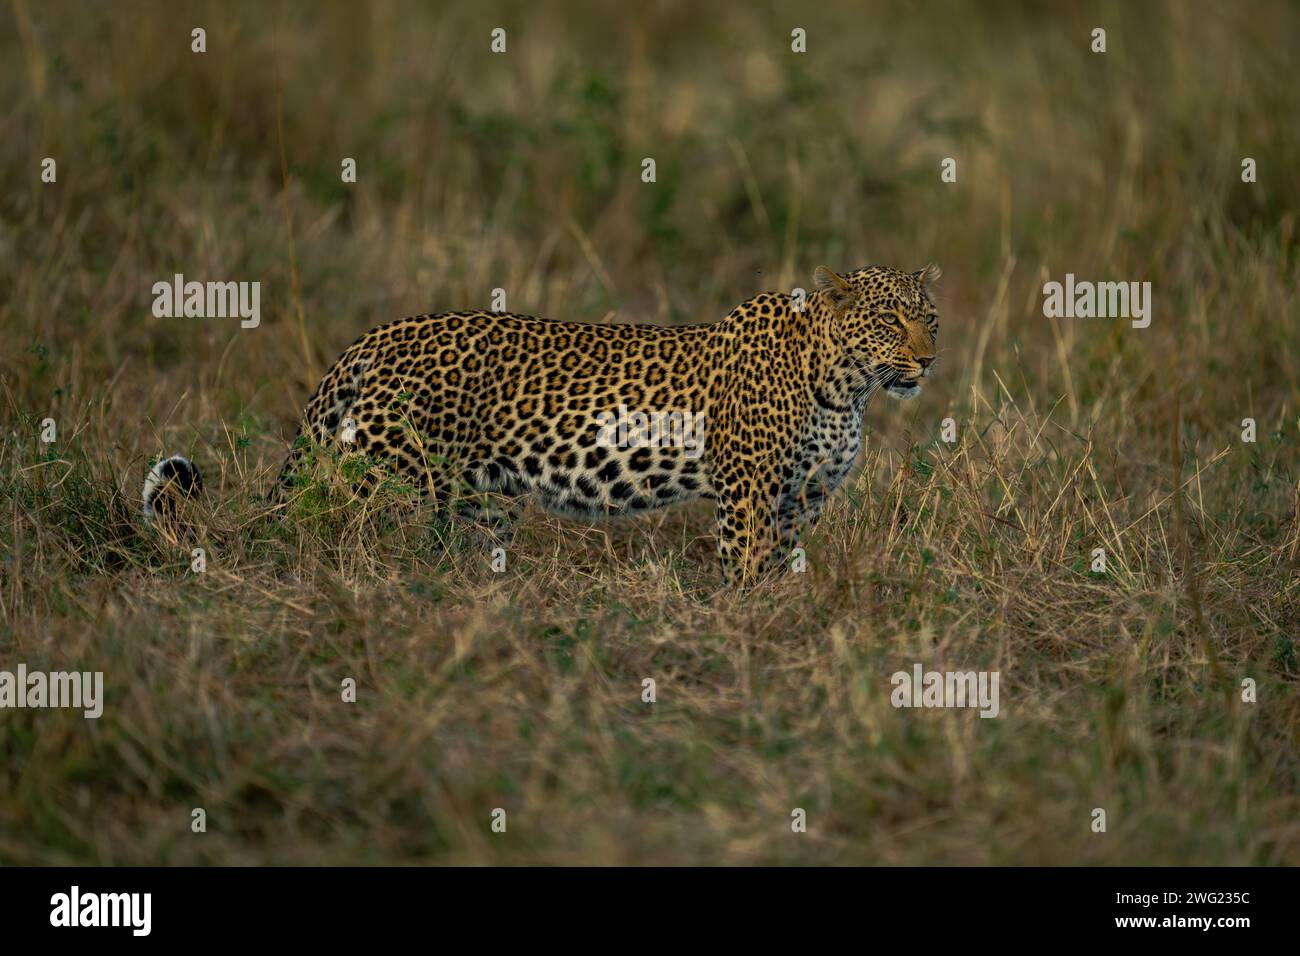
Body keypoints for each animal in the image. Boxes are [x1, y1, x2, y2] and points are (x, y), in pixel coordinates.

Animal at [143, 263, 941, 584]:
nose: (929, 360)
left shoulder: (803, 498)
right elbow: (745, 564)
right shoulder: (749, 493)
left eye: (928, 317)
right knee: (311, 523)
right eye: (888, 320)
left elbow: (780, 565)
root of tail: (384, 333)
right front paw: (746, 628)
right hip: (384, 470)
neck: (846, 387)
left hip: (479, 498)